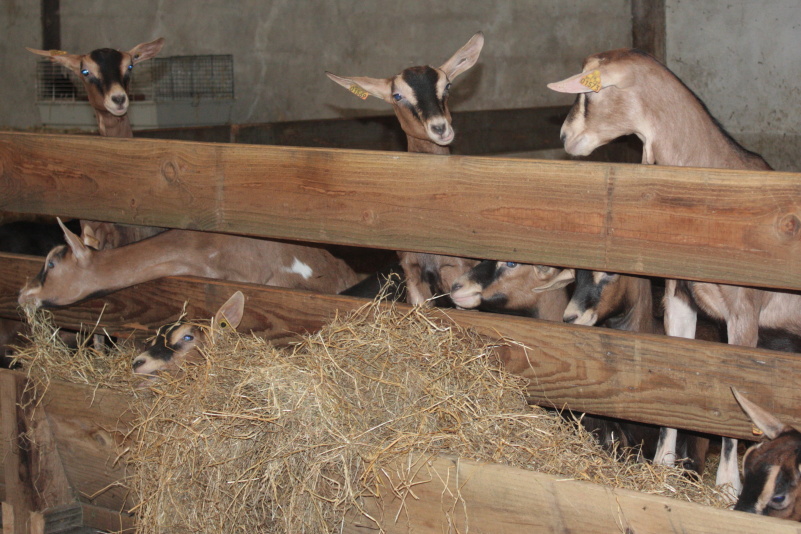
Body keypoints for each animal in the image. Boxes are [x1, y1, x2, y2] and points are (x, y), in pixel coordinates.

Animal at [548, 47, 796, 500]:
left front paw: (728, 485)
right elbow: (675, 366)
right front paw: (663, 466)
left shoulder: (744, 314)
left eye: (587, 93)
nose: (563, 137)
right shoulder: (680, 297)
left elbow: (731, 391)